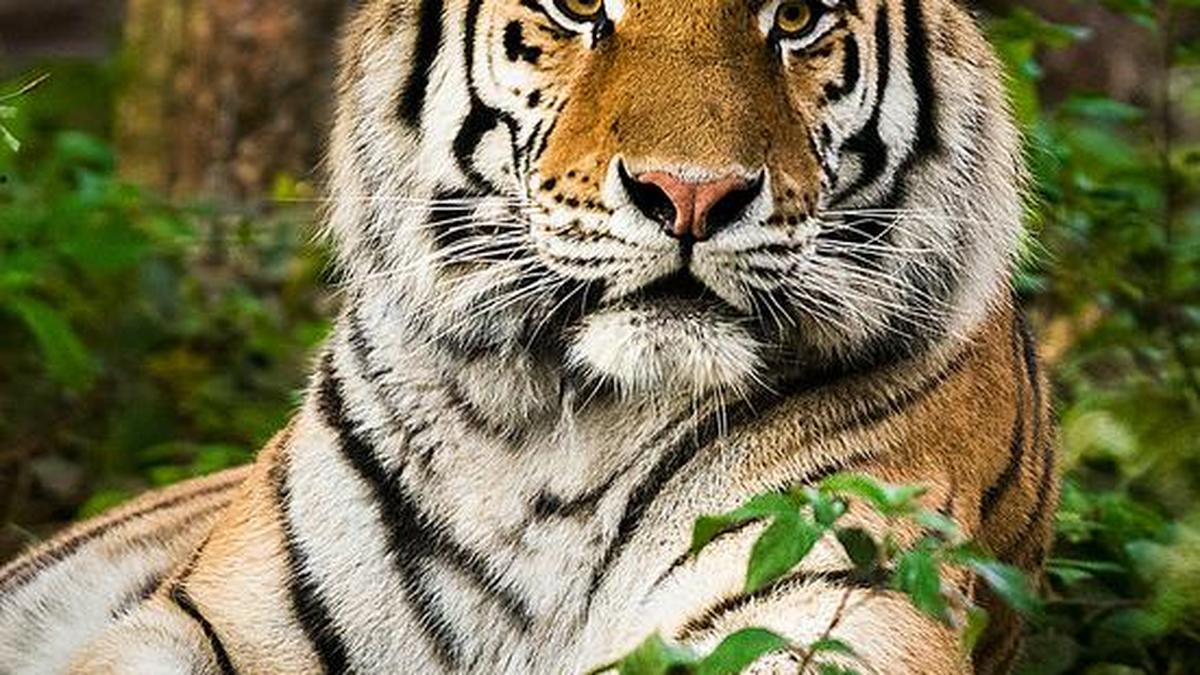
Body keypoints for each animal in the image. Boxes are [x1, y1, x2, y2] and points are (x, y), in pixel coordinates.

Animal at [0, 0, 1057, 672]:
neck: (558, 424)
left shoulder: (831, 594)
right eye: (578, 4)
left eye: (795, 16)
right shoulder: (214, 620)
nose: (691, 194)